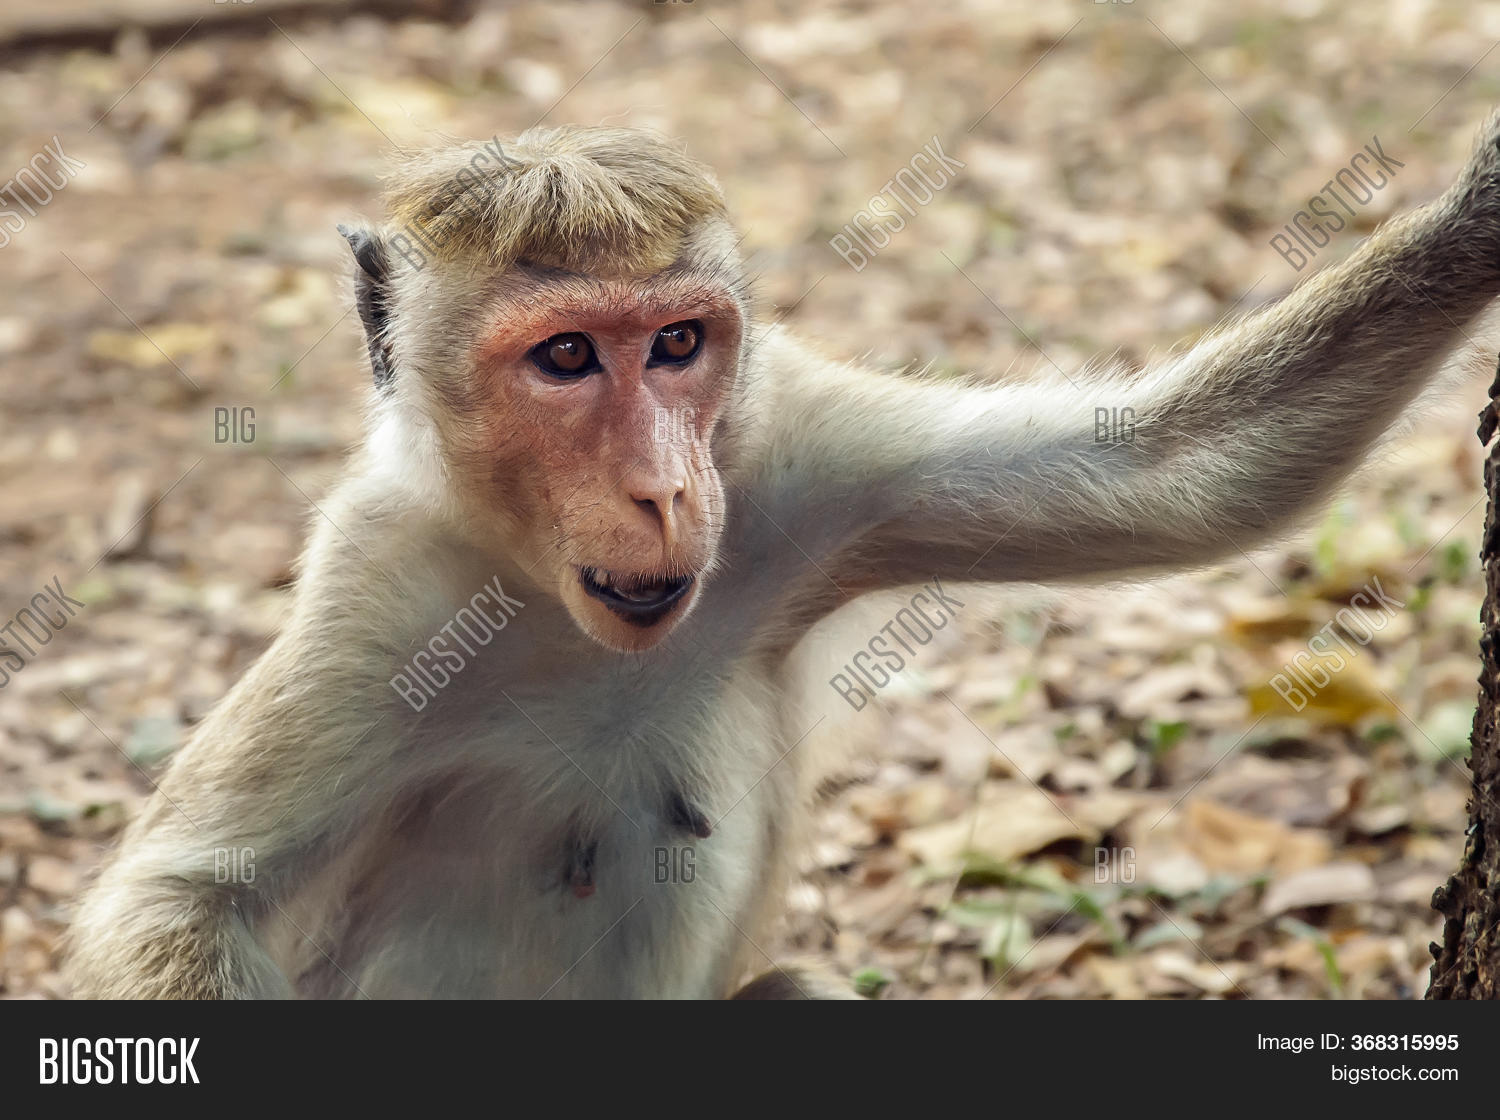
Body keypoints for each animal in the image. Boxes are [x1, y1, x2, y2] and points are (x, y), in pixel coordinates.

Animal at [65, 111, 1500, 999]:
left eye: (678, 343)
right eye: (567, 356)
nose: (662, 486)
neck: (551, 601)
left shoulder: (791, 451)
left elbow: (1166, 472)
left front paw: (1478, 214)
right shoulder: (383, 587)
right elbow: (185, 898)